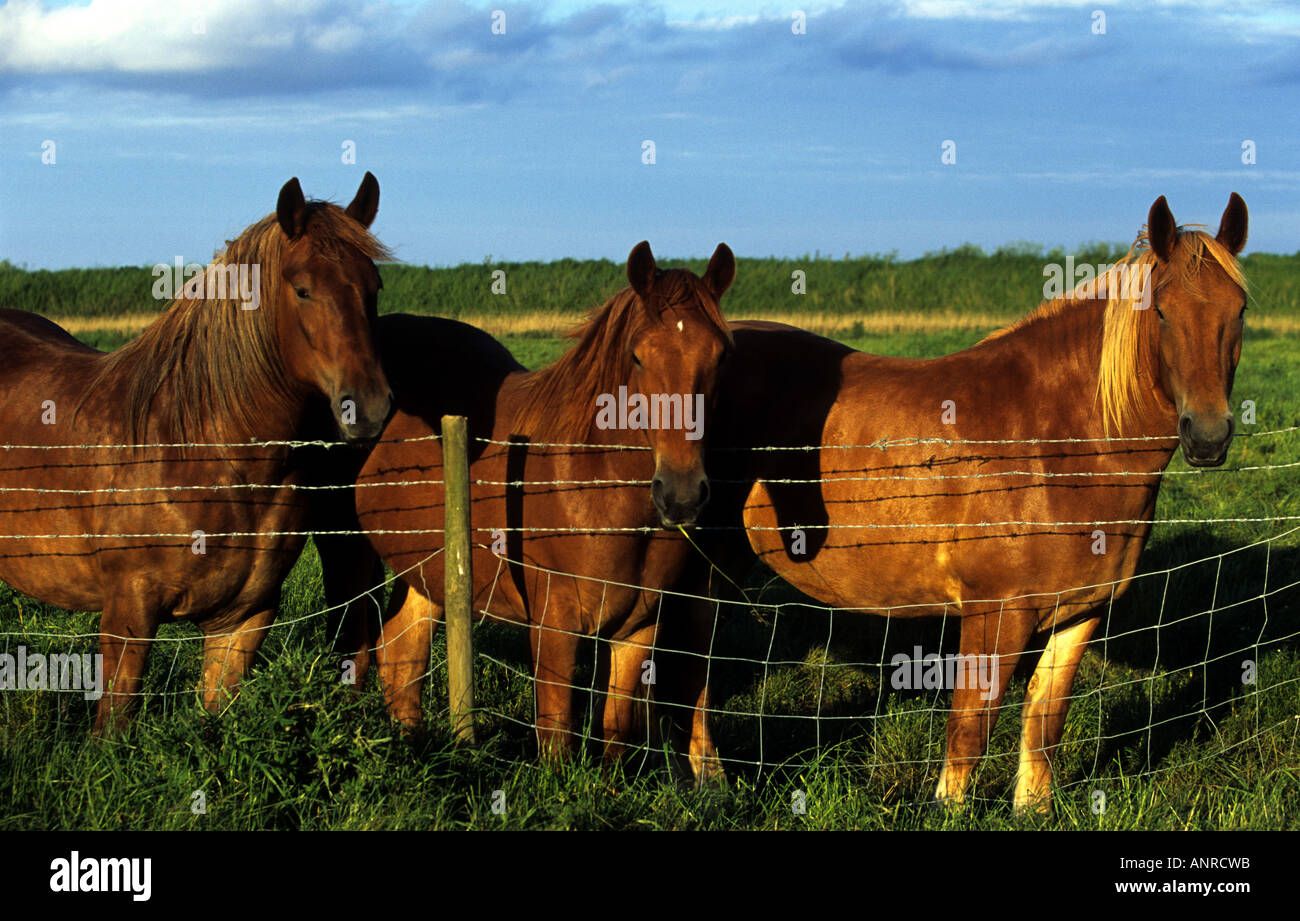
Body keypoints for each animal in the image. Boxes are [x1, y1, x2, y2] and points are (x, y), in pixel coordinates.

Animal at [0, 173, 394, 732]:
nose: (370, 409)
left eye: (373, 288)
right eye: (302, 290)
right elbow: (113, 727)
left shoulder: (243, 618)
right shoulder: (128, 613)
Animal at [325, 241, 735, 779]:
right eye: (638, 356)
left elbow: (616, 730)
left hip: (427, 570)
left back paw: (409, 747)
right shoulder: (555, 622)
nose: (682, 494)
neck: (593, 484)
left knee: (401, 649)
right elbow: (557, 732)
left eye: (720, 355)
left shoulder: (639, 628)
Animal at [663, 194, 1249, 810]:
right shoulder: (997, 612)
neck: (1059, 443)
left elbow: (1045, 717)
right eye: (1160, 312)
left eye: (1238, 312)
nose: (1208, 435)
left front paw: (1031, 808)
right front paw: (950, 807)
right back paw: (710, 782)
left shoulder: (1081, 612)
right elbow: (972, 724)